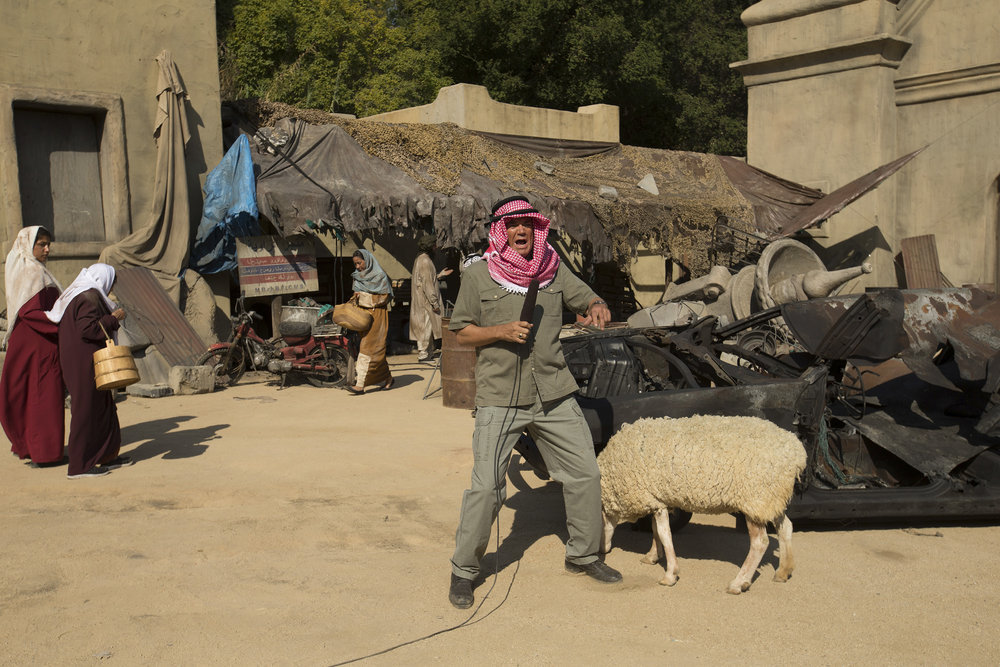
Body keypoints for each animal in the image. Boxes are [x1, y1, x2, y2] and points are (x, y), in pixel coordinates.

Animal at [596, 414, 808, 596]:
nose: (600, 551)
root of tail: (796, 452)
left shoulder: (655, 500)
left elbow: (665, 534)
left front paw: (670, 574)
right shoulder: (658, 498)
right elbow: (656, 531)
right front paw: (653, 556)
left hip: (755, 498)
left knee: (760, 543)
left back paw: (739, 583)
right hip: (772, 498)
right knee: (786, 527)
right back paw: (783, 571)